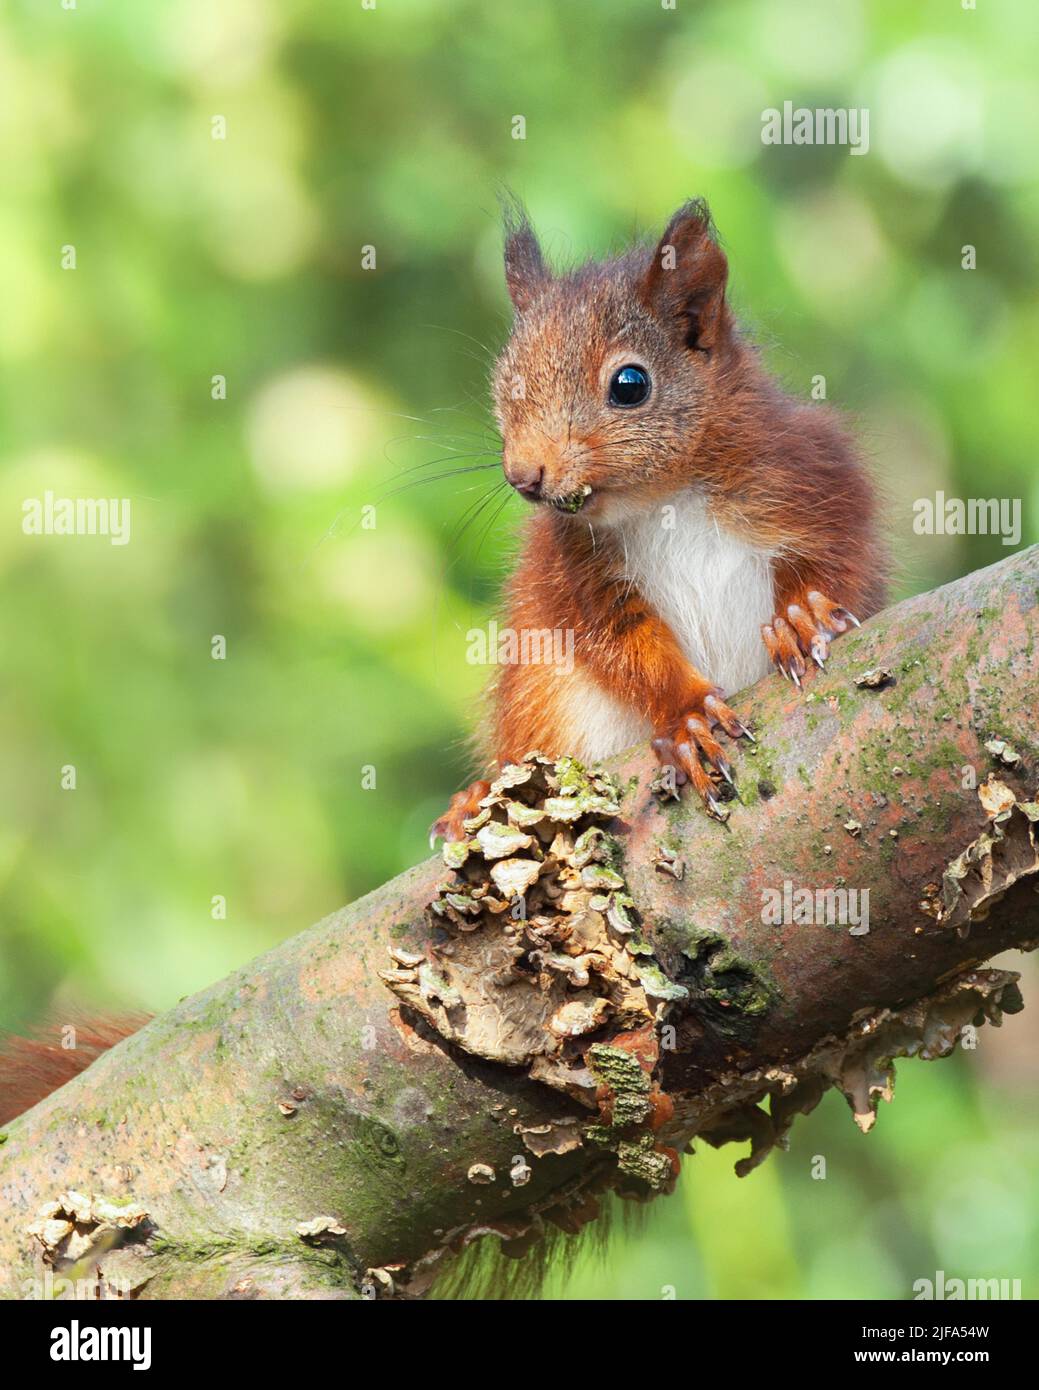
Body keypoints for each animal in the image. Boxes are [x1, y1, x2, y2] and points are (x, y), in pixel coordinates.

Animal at [432, 198, 887, 840]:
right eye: (504, 386)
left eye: (630, 384)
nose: (524, 475)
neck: (665, 500)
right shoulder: (581, 571)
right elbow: (624, 647)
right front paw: (688, 719)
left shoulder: (815, 477)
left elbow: (840, 560)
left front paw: (802, 616)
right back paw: (473, 799)